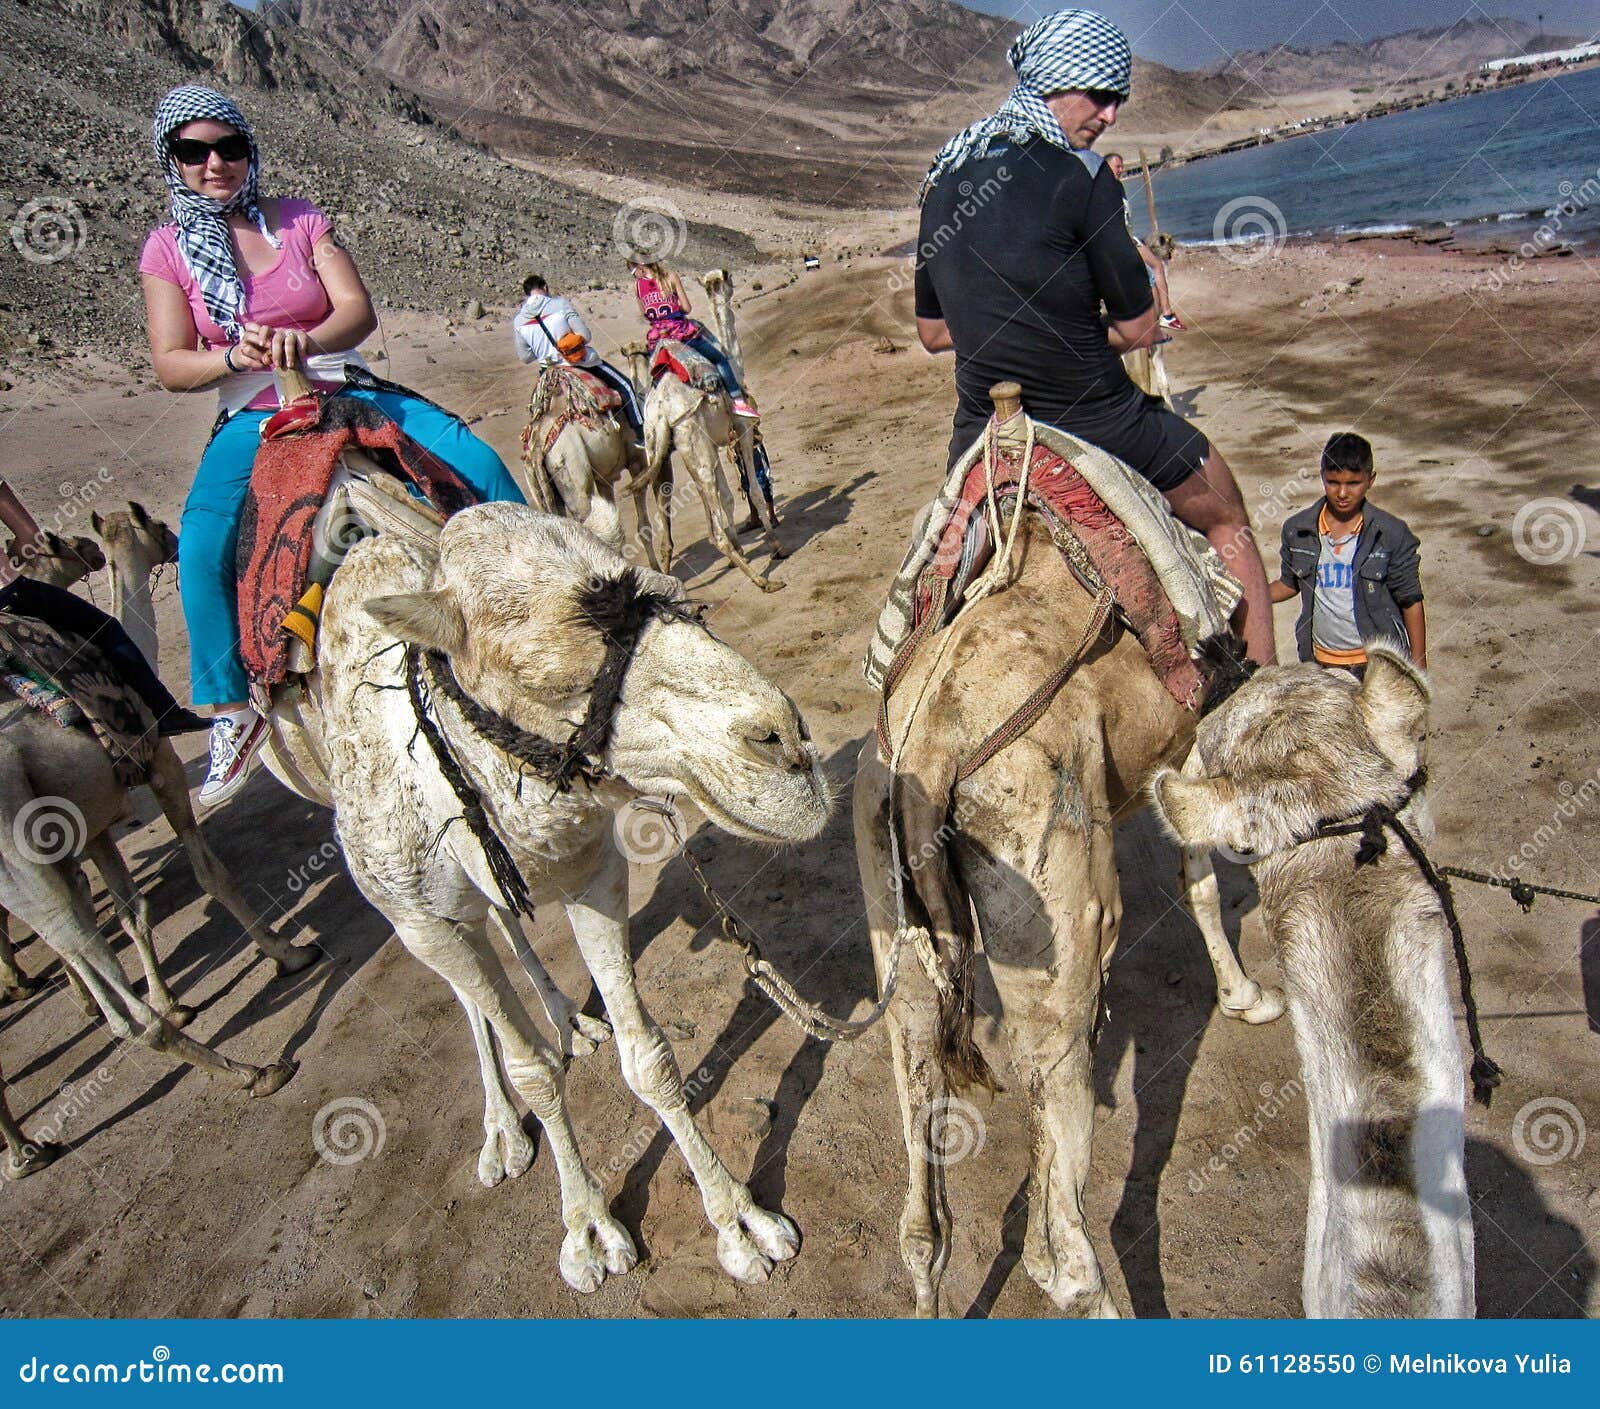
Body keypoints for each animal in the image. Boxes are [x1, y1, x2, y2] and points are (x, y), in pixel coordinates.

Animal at [265, 503, 829, 1287]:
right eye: (547, 678)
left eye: (680, 598)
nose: (789, 747)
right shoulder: (426, 919)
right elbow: (530, 1067)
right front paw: (588, 1226)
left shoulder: (591, 871)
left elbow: (650, 1057)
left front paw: (740, 1222)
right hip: (412, 914)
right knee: (473, 991)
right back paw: (502, 1131)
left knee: (509, 925)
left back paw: (569, 1020)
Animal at [853, 396, 1284, 1316]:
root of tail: (930, 750)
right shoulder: (1190, 736)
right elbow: (1199, 875)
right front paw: (1246, 995)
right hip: (1051, 900)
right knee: (1064, 1251)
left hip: (889, 891)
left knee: (923, 1224)